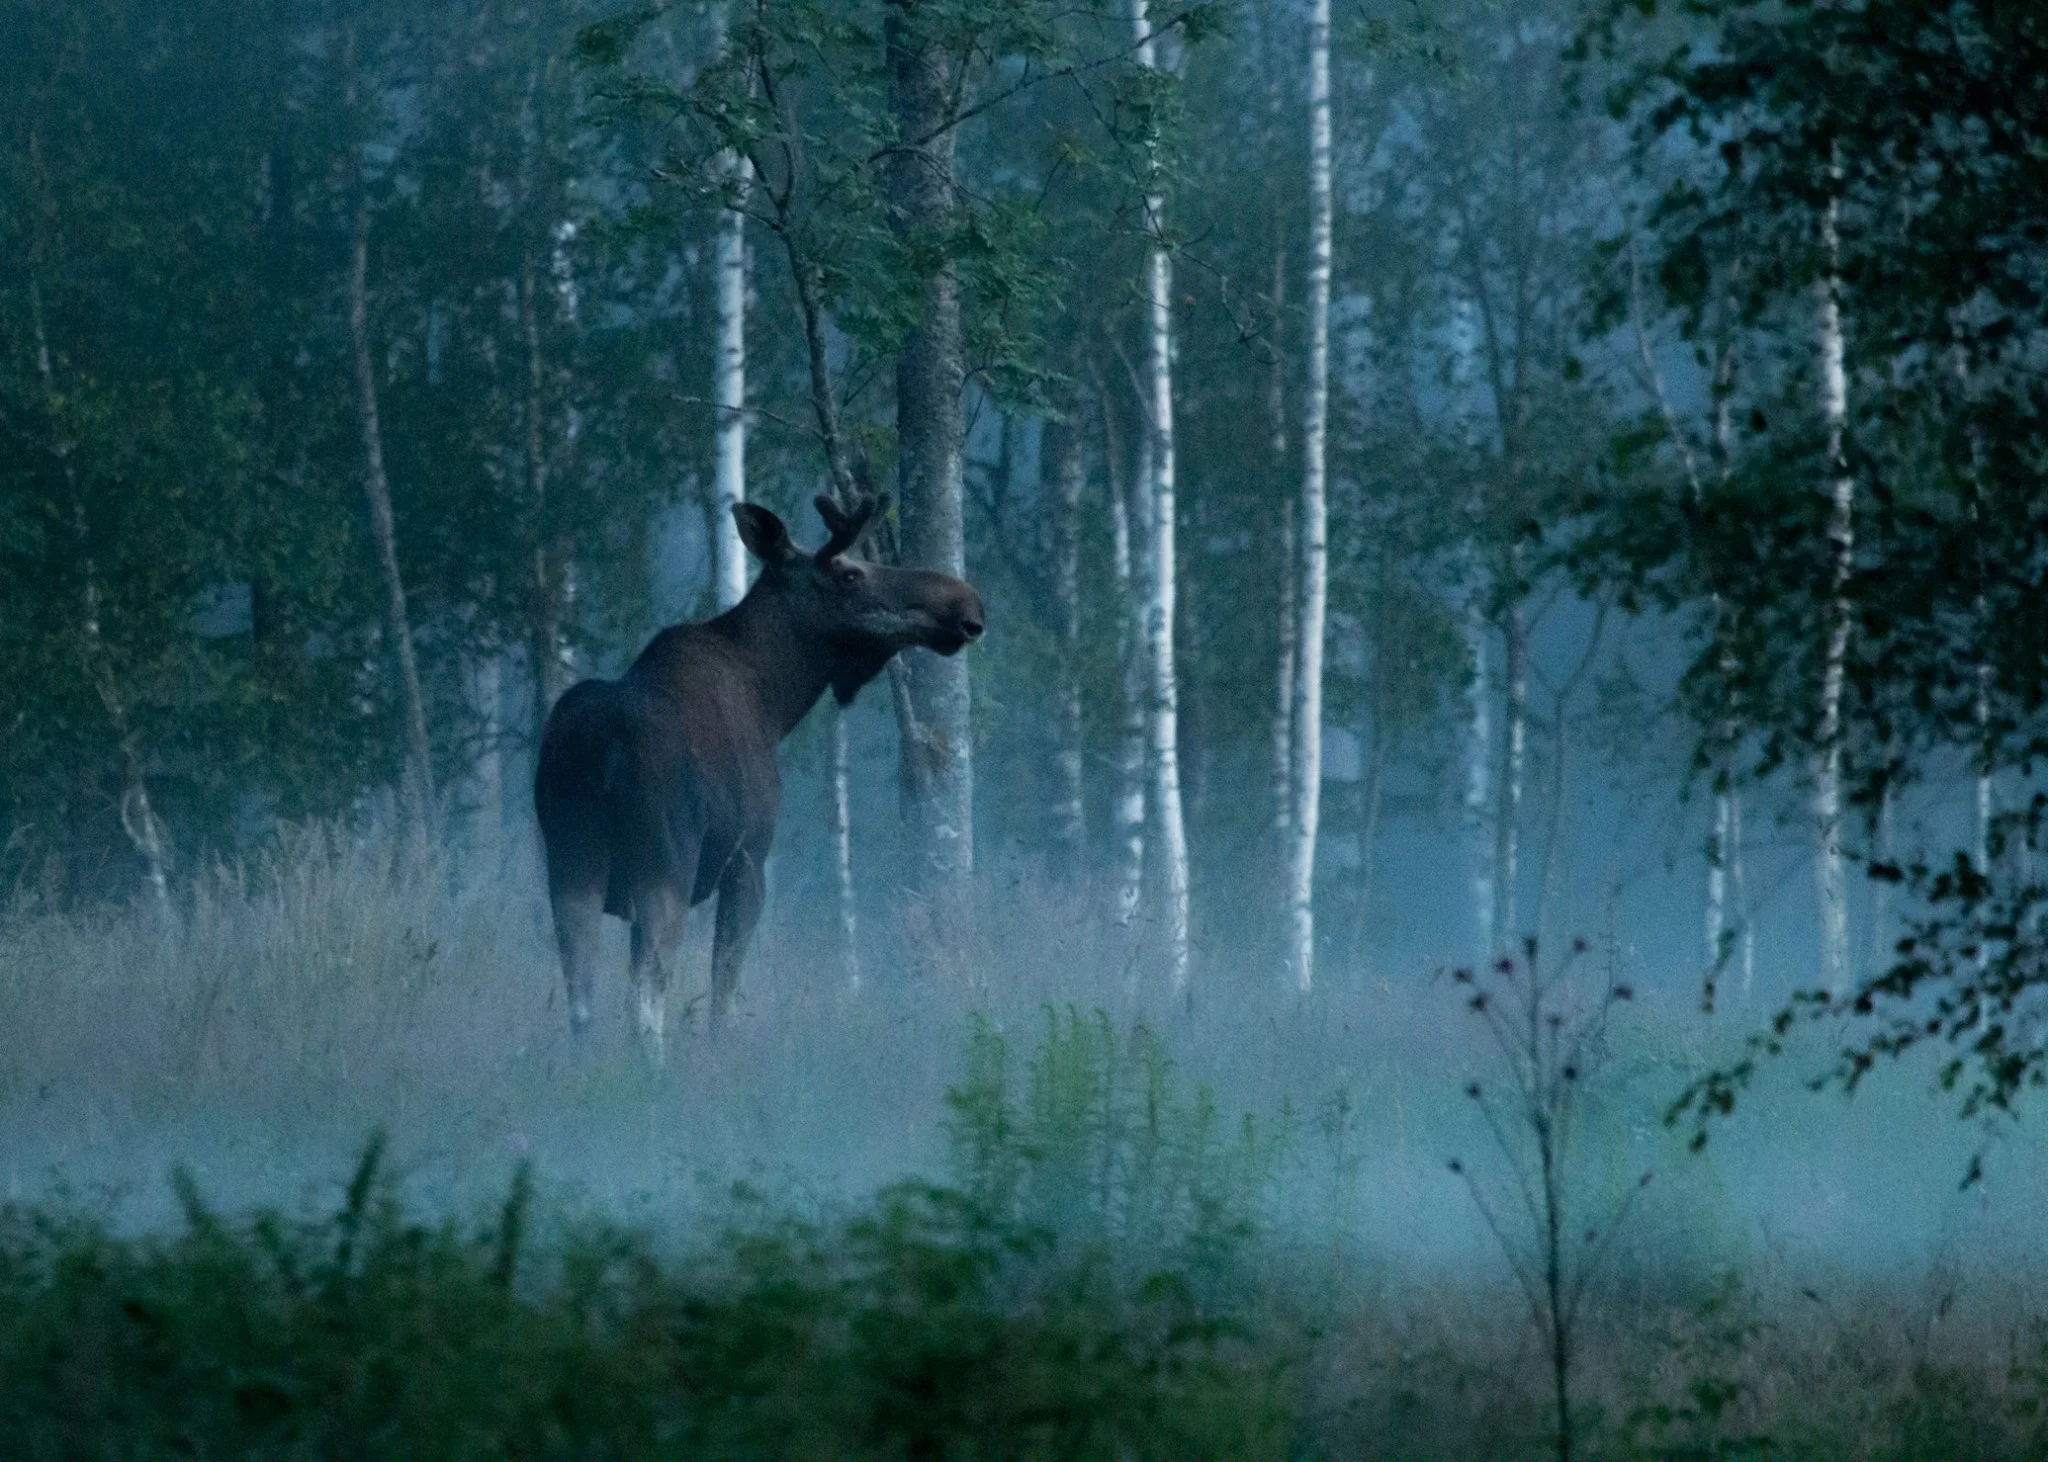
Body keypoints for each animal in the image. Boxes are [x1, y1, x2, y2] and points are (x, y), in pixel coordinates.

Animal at [533, 492, 984, 1062]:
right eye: (850, 573)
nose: (966, 604)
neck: (777, 699)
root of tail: (603, 751)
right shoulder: (748, 857)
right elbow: (724, 989)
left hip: (571, 858)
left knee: (581, 988)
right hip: (665, 862)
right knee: (646, 984)